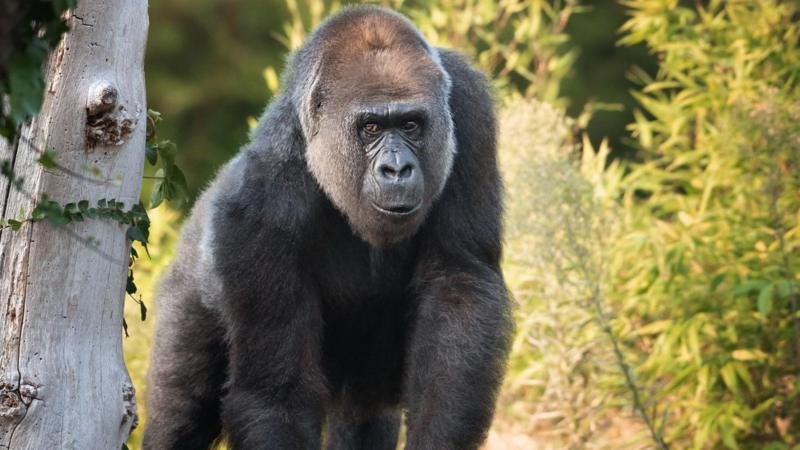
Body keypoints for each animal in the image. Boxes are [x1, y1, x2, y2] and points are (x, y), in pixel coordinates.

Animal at [143, 5, 512, 450]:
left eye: (410, 125)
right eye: (370, 128)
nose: (397, 169)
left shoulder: (470, 107)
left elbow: (459, 288)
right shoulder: (257, 206)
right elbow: (274, 396)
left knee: (365, 411)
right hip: (188, 285)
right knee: (181, 410)